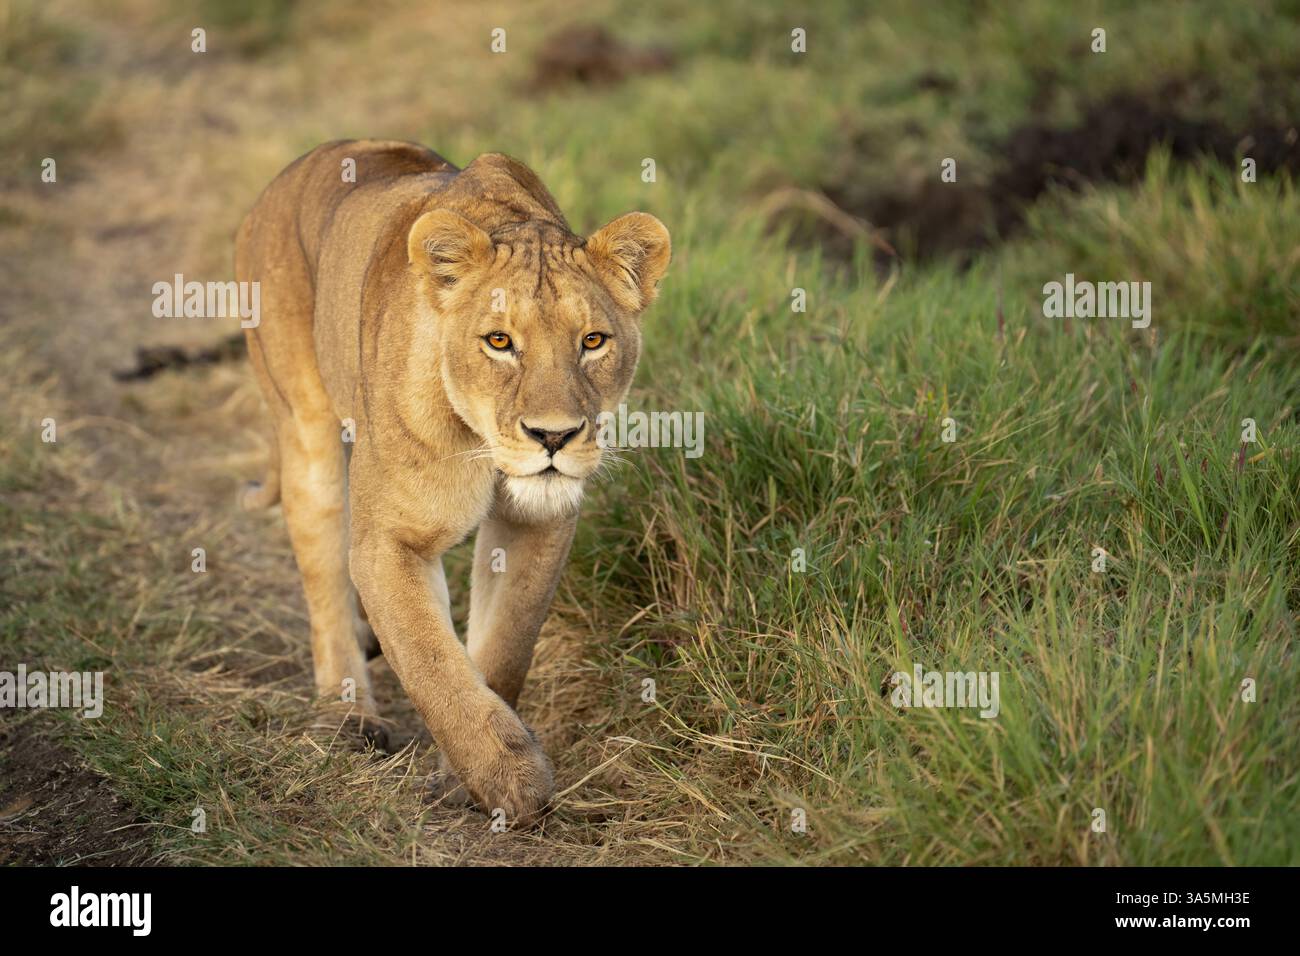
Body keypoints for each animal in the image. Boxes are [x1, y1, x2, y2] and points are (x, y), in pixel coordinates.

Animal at [234, 140, 670, 825]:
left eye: (593, 341)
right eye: (499, 341)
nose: (554, 437)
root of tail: (290, 171)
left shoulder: (538, 525)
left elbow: (505, 646)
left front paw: (468, 778)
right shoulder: (390, 542)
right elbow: (431, 661)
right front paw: (509, 778)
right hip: (305, 431)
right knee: (323, 579)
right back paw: (349, 714)